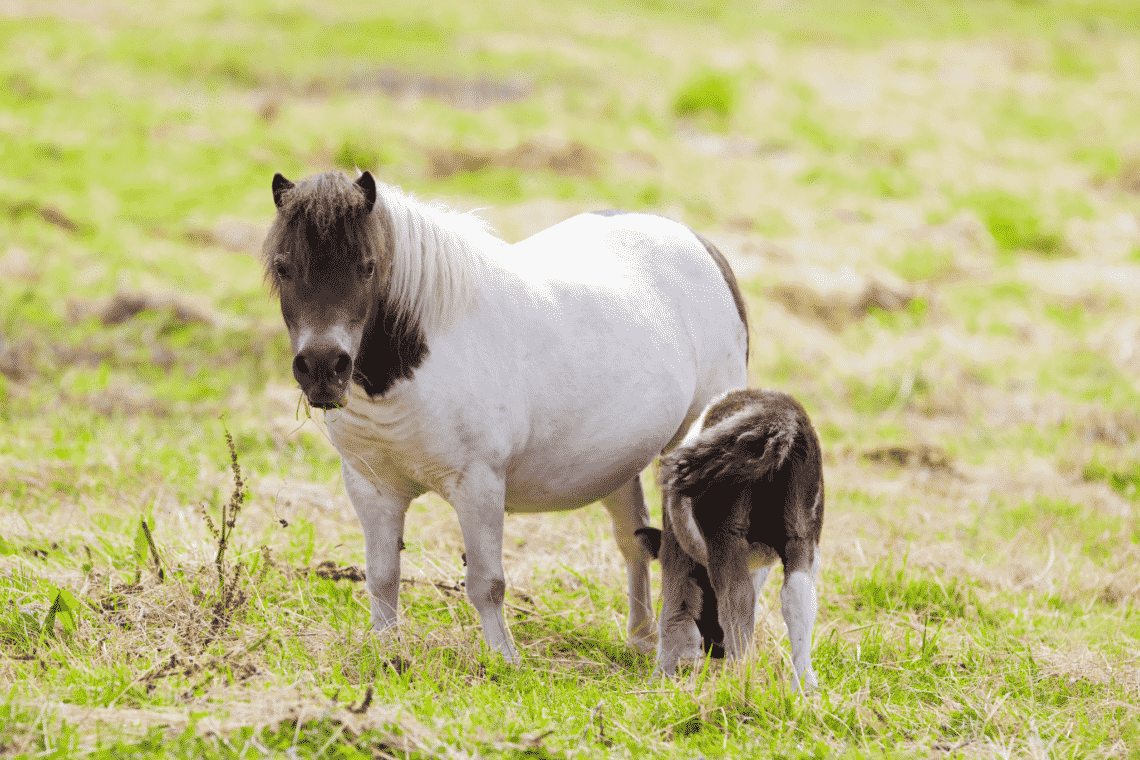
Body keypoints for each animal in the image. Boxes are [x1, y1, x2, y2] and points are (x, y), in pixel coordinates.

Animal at [261, 169, 749, 663]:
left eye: (367, 266)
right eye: (283, 267)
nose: (323, 368)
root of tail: (698, 243)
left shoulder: (478, 484)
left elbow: (486, 583)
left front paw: (504, 660)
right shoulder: (372, 488)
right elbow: (381, 579)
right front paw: (386, 652)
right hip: (621, 462)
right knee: (635, 544)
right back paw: (643, 640)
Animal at [637, 388, 823, 689]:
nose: (717, 651)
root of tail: (779, 416)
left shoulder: (674, 547)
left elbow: (674, 612)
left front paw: (659, 678)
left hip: (724, 528)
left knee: (737, 597)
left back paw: (740, 678)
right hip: (802, 529)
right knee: (797, 595)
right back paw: (805, 685)